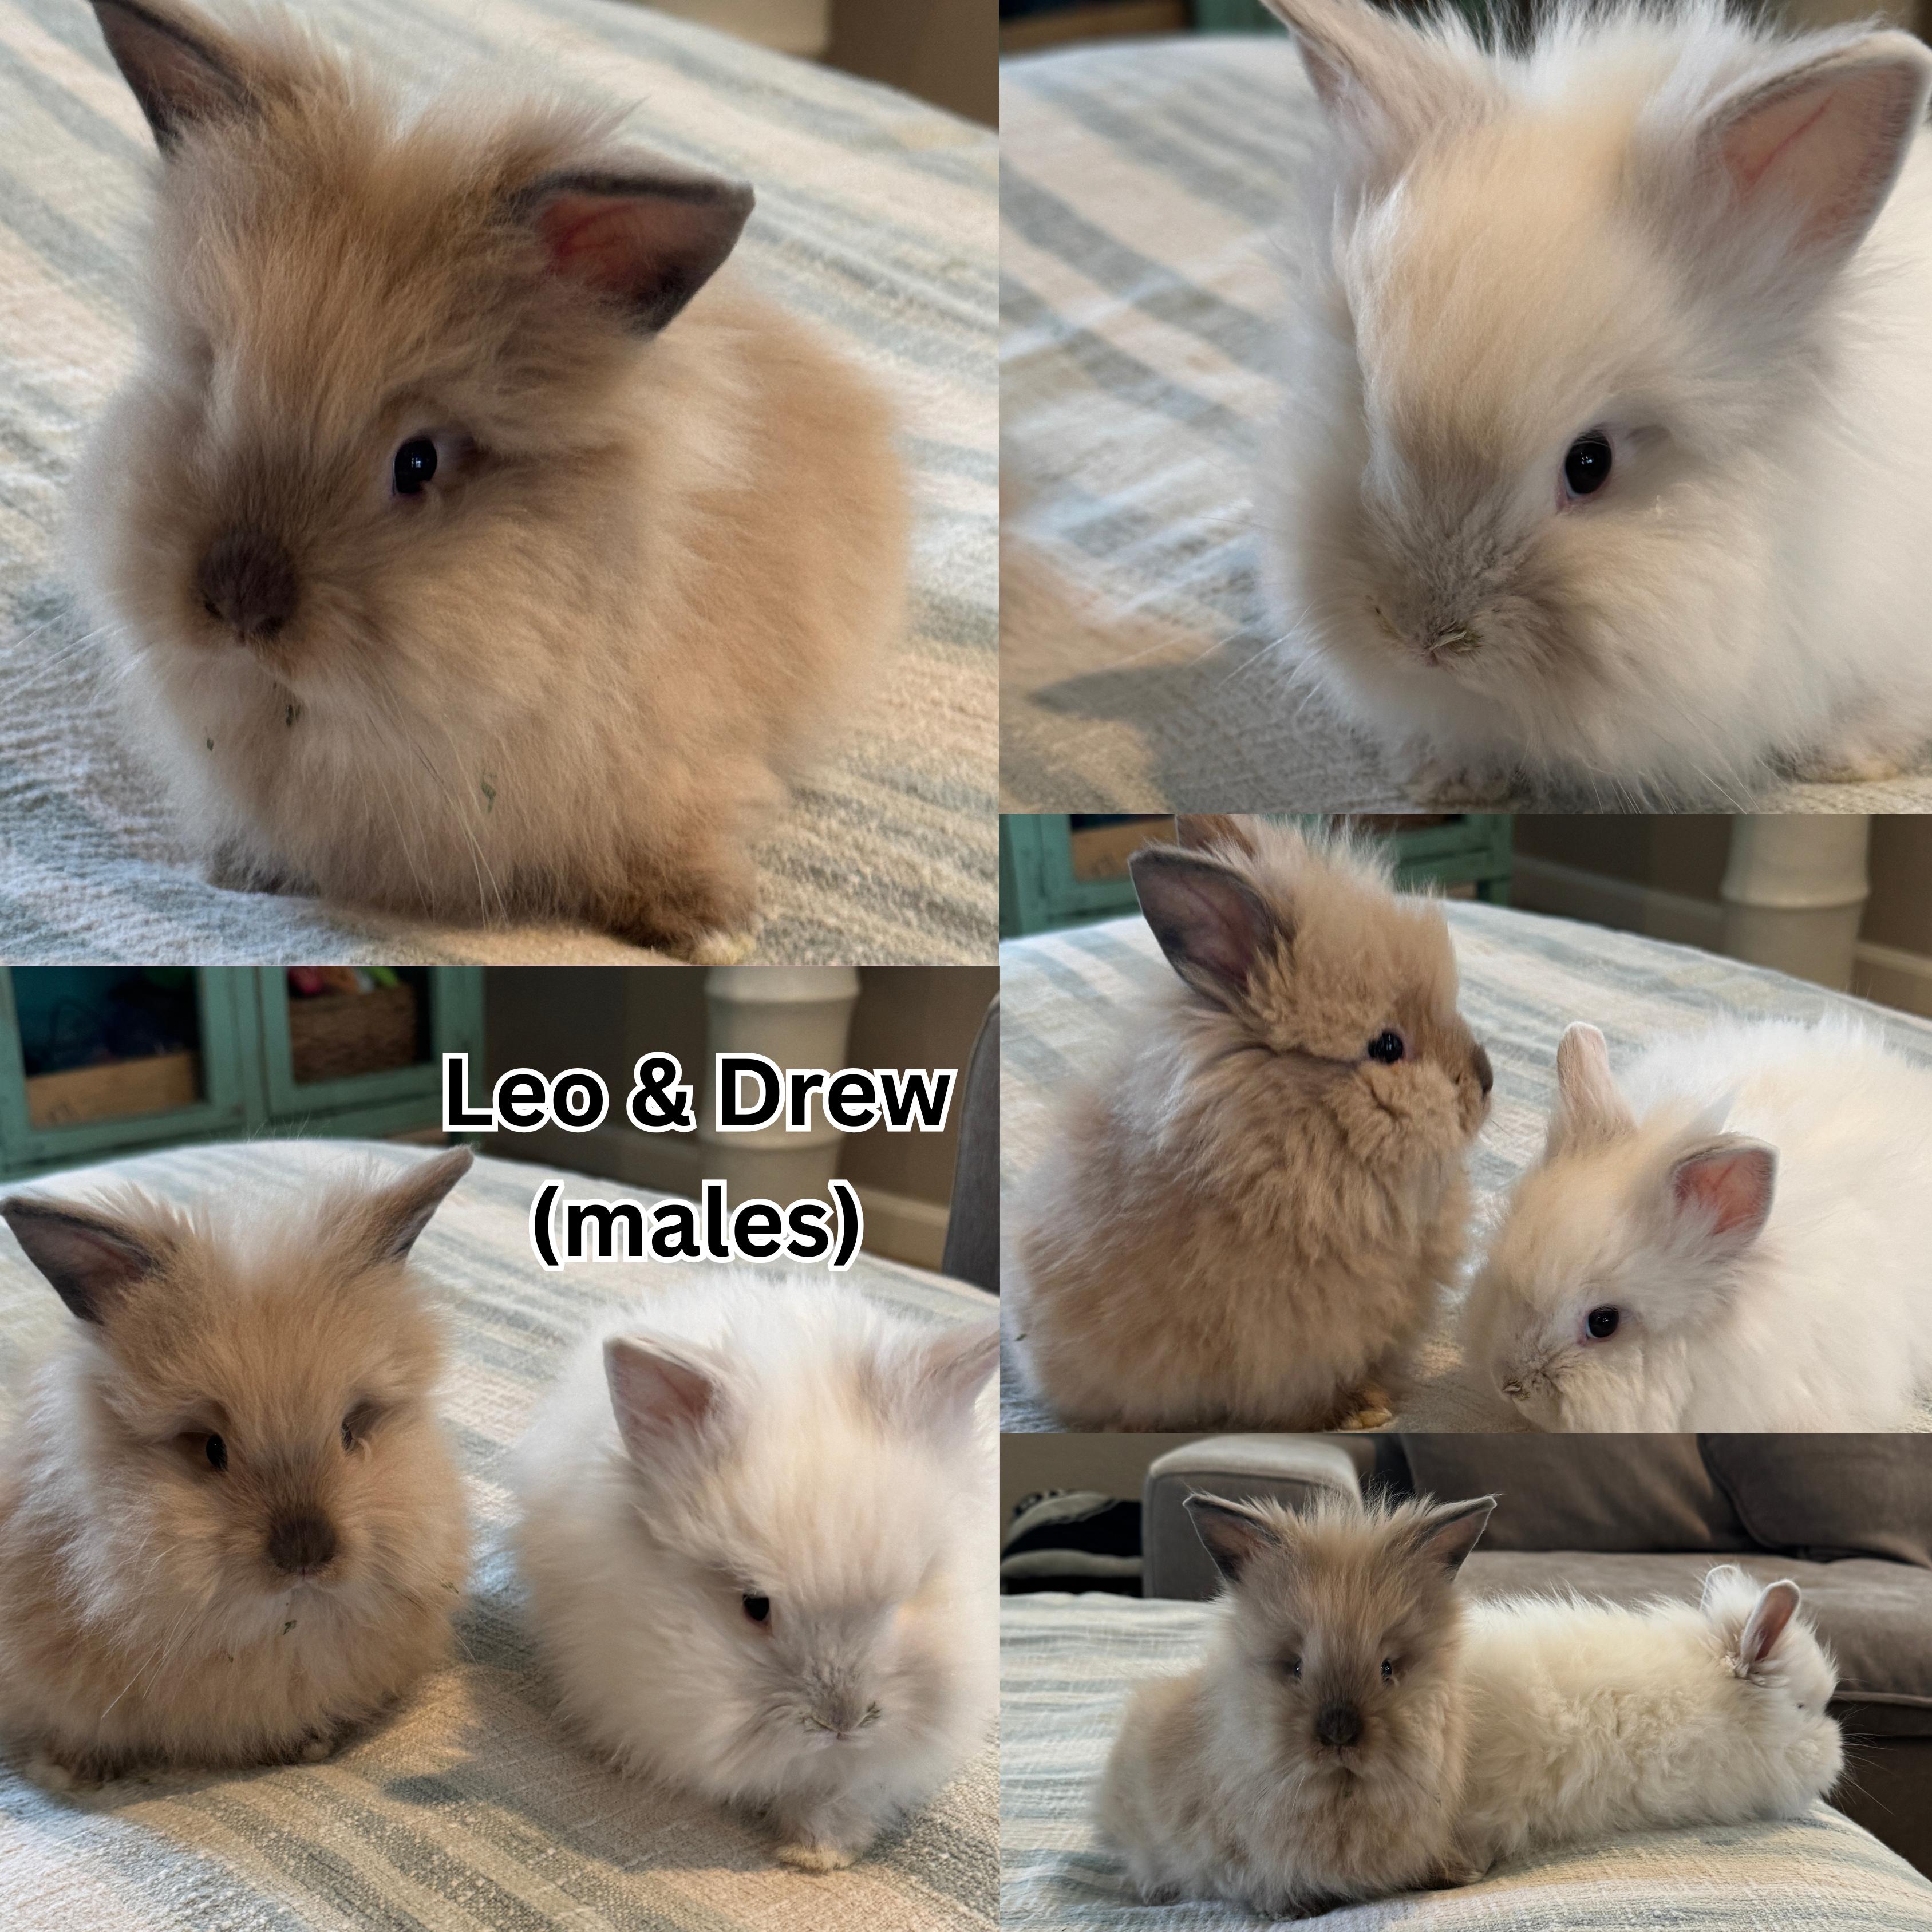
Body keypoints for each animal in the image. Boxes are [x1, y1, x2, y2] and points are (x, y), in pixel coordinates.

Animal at [1007, 814, 1492, 1430]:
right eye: (1387, 1046)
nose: (1485, 1080)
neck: (1295, 1135)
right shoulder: (1288, 1341)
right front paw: (1357, 1412)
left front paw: (1374, 1399)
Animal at [1099, 1489, 1497, 1916]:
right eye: (1296, 1666)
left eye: (1387, 1668)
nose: (1339, 1732)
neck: (1341, 1796)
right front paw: (1290, 1906)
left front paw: (1460, 1872)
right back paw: (1153, 1892)